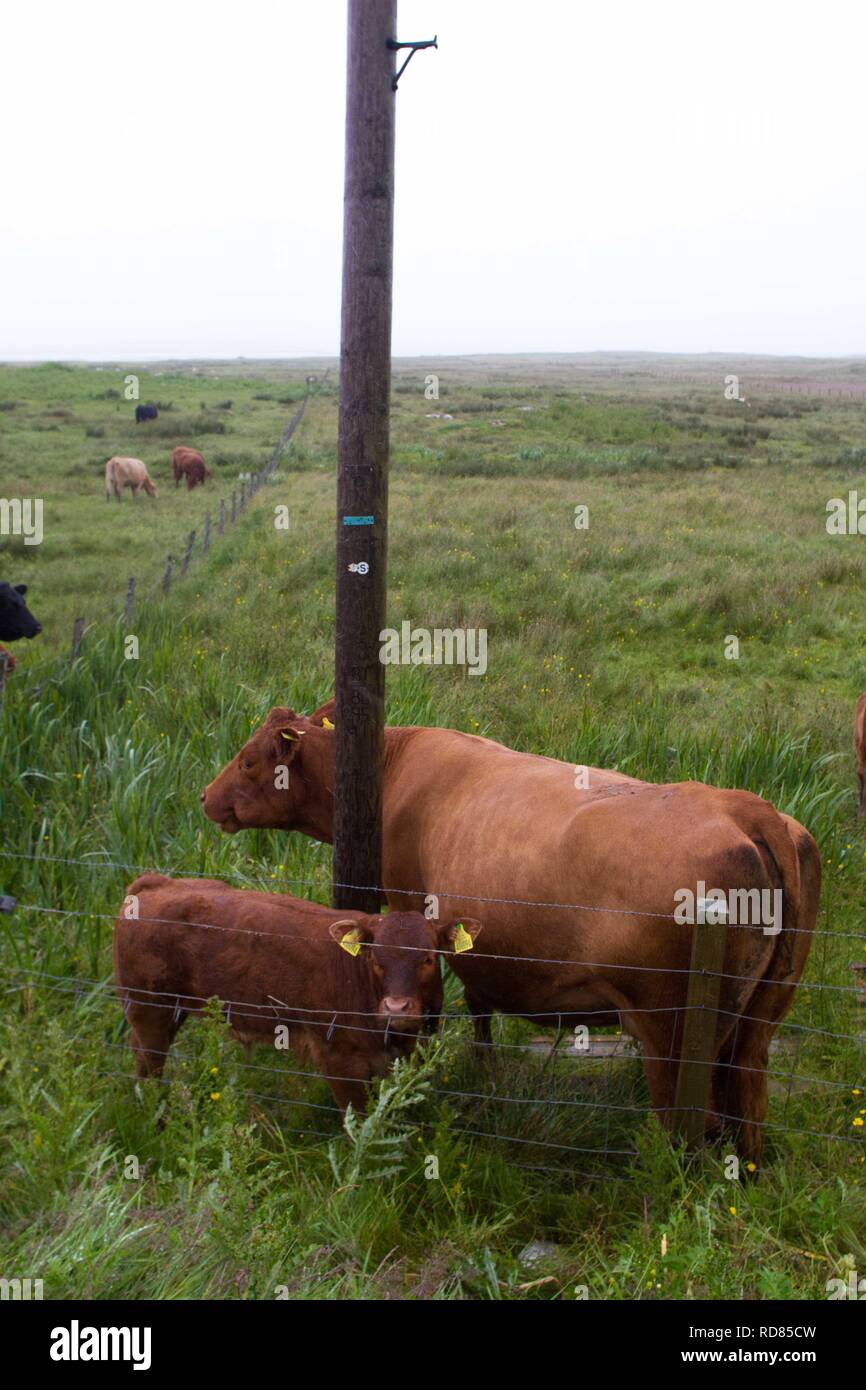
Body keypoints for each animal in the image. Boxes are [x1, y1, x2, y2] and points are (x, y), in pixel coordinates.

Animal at [113, 873, 479, 1113]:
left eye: (428, 958)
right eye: (376, 959)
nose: (396, 1007)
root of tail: (157, 882)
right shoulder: (340, 1058)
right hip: (149, 1008)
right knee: (149, 1065)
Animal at [202, 701, 821, 1160]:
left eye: (249, 760)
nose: (206, 798)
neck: (391, 769)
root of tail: (744, 806)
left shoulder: (411, 908)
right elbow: (479, 1003)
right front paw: (487, 1069)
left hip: (669, 1024)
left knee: (685, 1119)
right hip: (763, 1014)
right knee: (748, 1097)